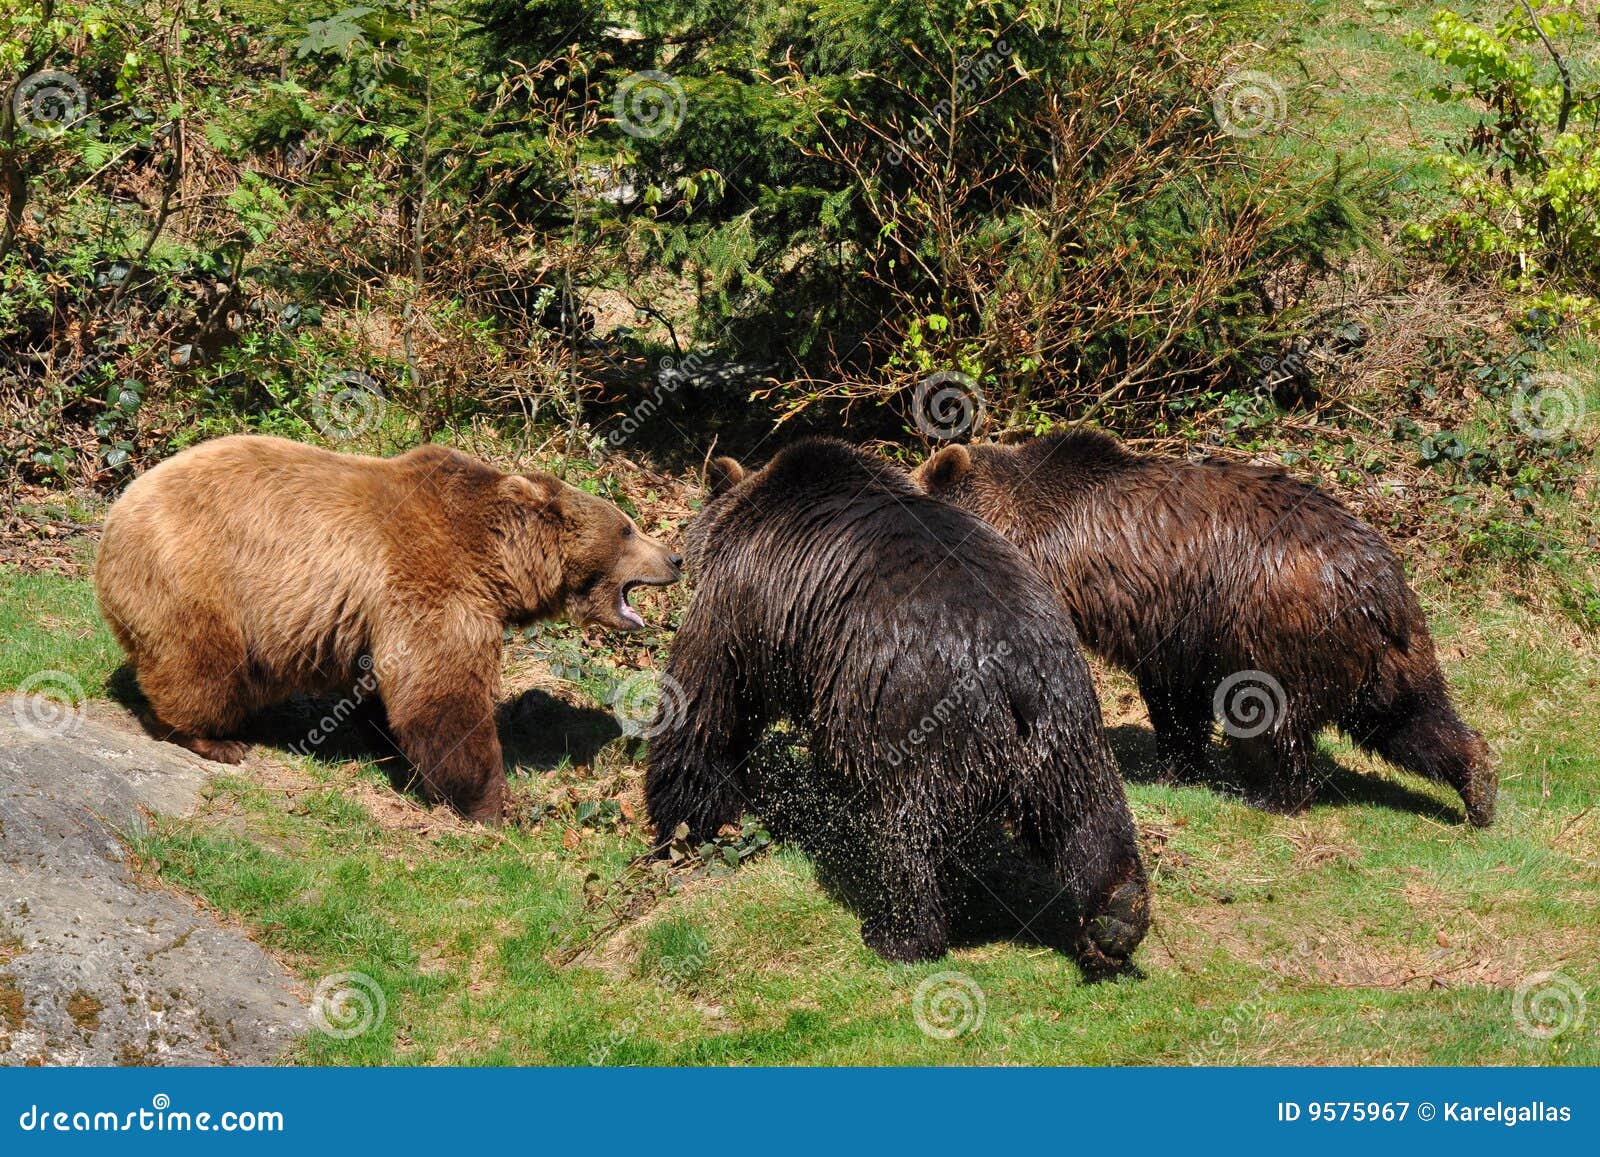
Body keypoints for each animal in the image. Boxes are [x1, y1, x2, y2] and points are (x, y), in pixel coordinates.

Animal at [95, 434, 681, 824]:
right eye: (628, 528)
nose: (675, 556)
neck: (497, 560)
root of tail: (115, 517)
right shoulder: (433, 580)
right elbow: (441, 691)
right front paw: (494, 803)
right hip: (196, 575)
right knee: (203, 662)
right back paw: (215, 739)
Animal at [644, 437, 1149, 965]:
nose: (677, 560)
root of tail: (1012, 666)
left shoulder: (741, 603)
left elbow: (705, 699)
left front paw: (681, 820)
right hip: (1066, 715)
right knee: (1085, 811)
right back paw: (1117, 915)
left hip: (910, 710)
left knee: (906, 829)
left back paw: (899, 933)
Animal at [913, 430, 1496, 826]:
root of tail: (1378, 584)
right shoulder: (1175, 631)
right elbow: (1178, 702)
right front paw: (1178, 766)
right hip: (1387, 654)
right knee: (1411, 718)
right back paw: (1479, 788)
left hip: (1273, 626)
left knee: (1270, 720)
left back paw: (1271, 797)